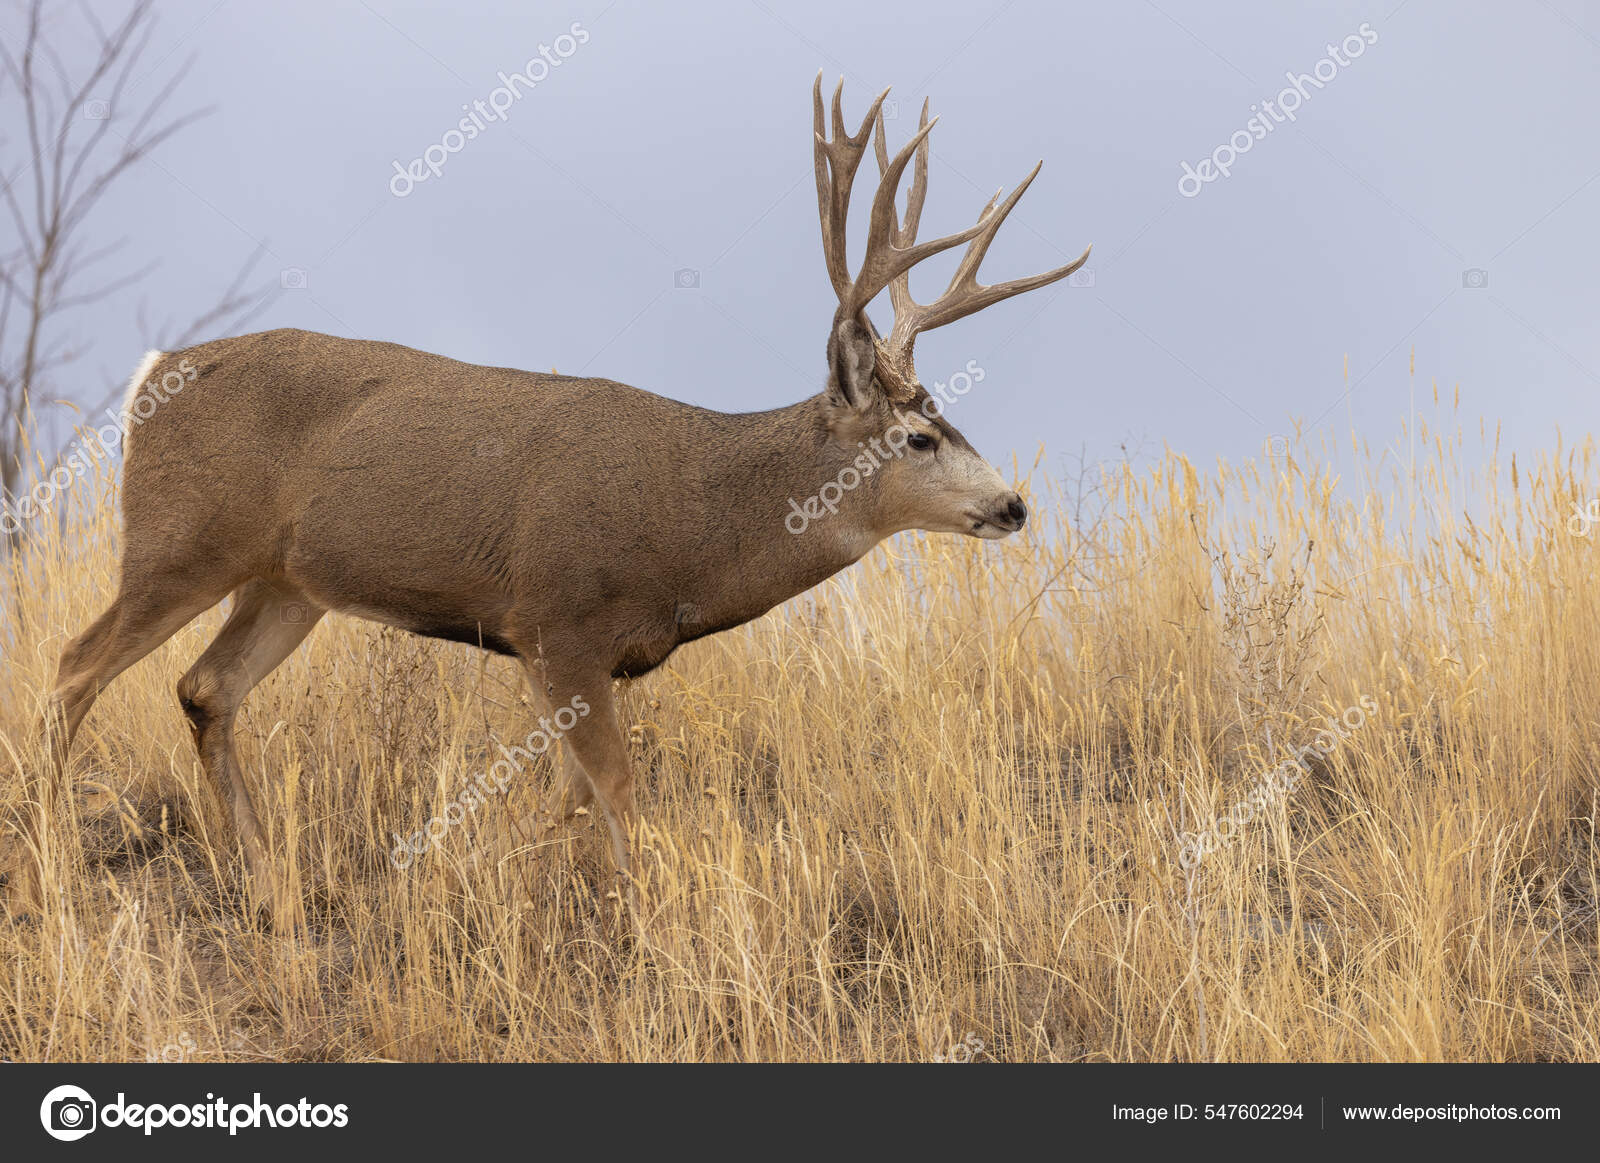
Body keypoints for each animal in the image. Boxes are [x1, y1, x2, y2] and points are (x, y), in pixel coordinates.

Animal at [25, 76, 1088, 921]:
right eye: (919, 436)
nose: (1013, 505)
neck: (694, 527)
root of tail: (152, 372)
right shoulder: (559, 620)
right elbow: (617, 790)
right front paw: (648, 928)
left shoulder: (587, 653)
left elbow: (570, 798)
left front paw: (532, 890)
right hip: (179, 540)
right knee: (73, 668)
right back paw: (52, 861)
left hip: (286, 581)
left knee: (205, 688)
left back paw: (272, 887)